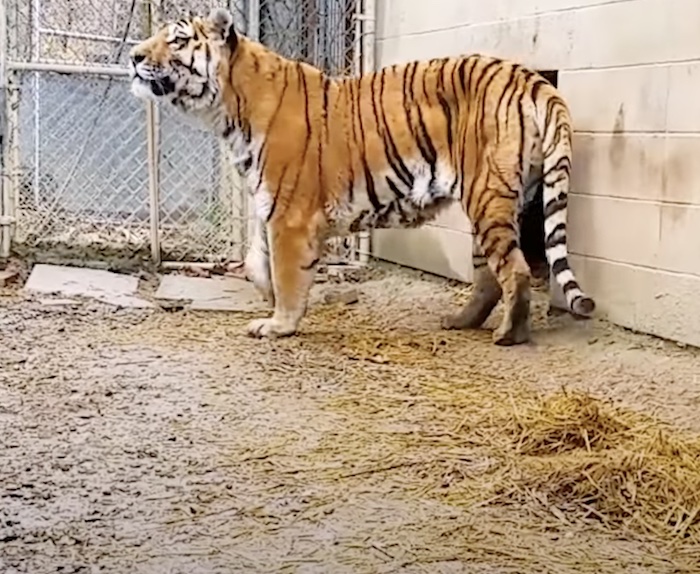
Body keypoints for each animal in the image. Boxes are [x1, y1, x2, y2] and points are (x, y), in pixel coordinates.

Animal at [128, 8, 595, 346]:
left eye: (177, 39)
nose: (133, 57)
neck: (228, 109)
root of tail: (535, 80)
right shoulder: (267, 205)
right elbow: (255, 261)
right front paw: (266, 298)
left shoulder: (289, 216)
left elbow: (286, 272)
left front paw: (279, 324)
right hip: (493, 201)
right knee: (489, 275)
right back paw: (459, 321)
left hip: (487, 194)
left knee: (515, 269)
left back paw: (509, 335)